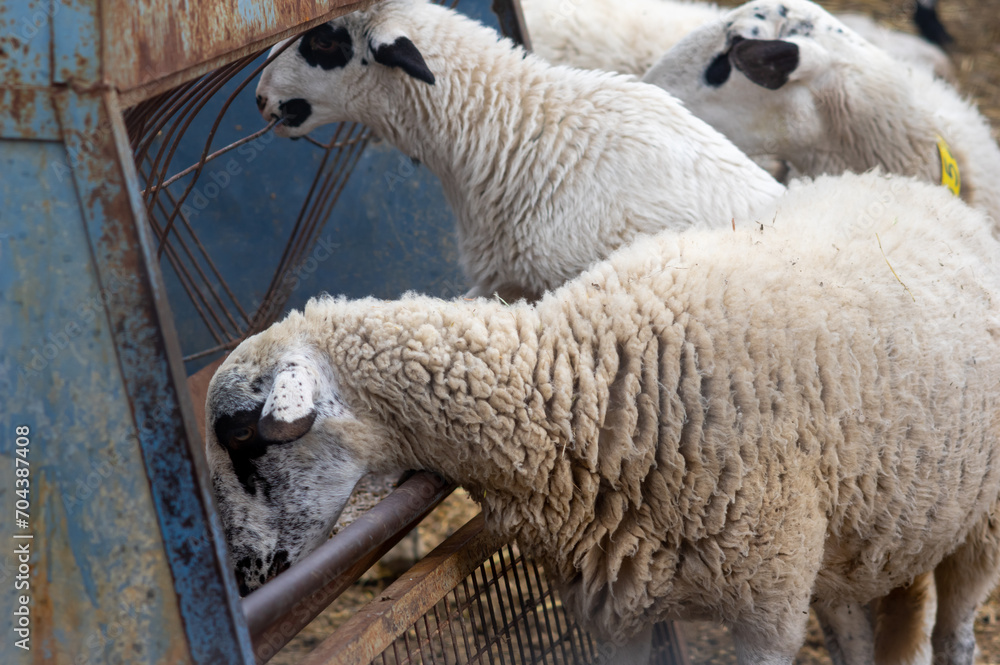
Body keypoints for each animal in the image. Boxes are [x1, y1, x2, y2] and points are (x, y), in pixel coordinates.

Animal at [207, 170, 1000, 664]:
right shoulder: (612, 607)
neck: (581, 384)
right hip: (853, 530)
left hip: (980, 521)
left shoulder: (766, 606)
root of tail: (917, 188)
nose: (243, 582)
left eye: (246, 443)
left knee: (957, 629)